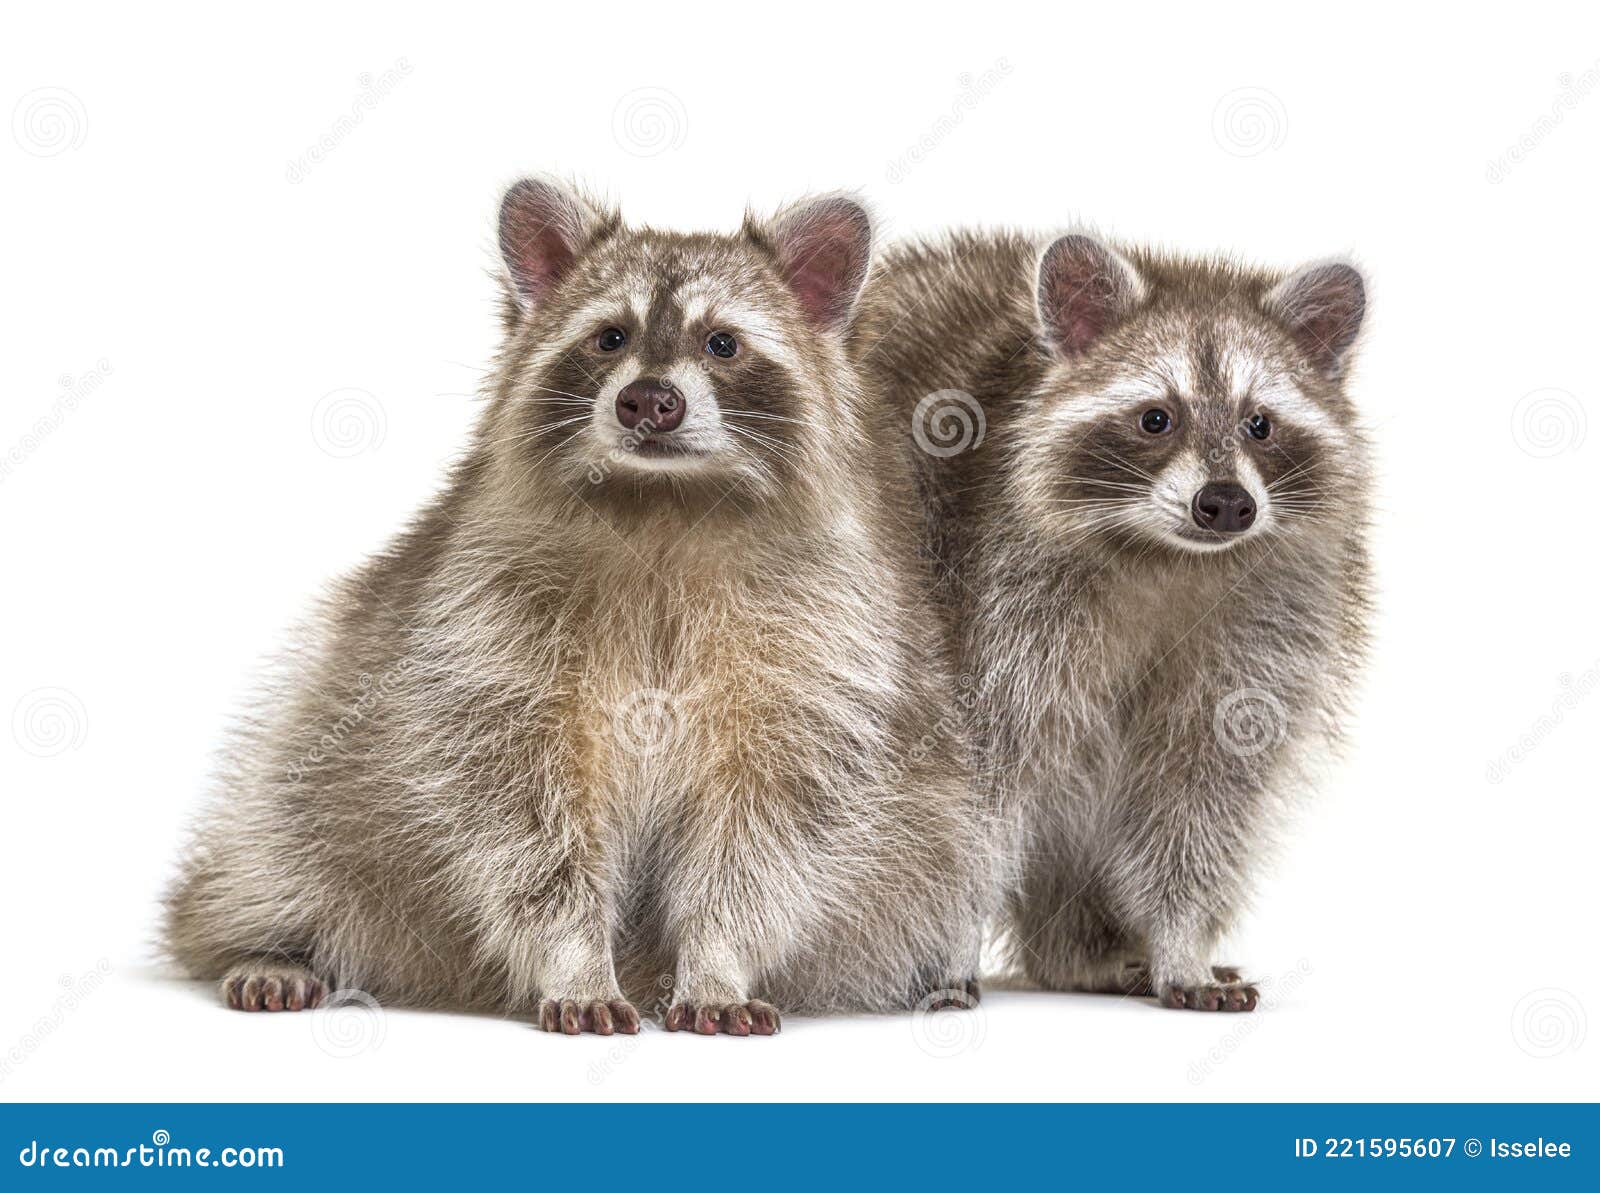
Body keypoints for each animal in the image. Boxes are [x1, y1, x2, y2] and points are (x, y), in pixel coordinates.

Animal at [162, 180, 987, 1035]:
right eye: (609, 337)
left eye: (722, 343)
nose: (648, 401)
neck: (662, 506)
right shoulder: (481, 622)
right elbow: (520, 820)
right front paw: (577, 959)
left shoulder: (826, 642)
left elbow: (769, 833)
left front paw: (717, 960)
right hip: (314, 745)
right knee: (275, 830)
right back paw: (273, 945)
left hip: (934, 830)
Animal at [853, 230, 1371, 1010]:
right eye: (1157, 417)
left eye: (1260, 423)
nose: (1226, 502)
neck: (1171, 558)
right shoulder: (987, 600)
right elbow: (974, 789)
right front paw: (945, 943)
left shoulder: (1270, 616)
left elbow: (1203, 791)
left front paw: (1181, 943)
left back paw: (1087, 955)